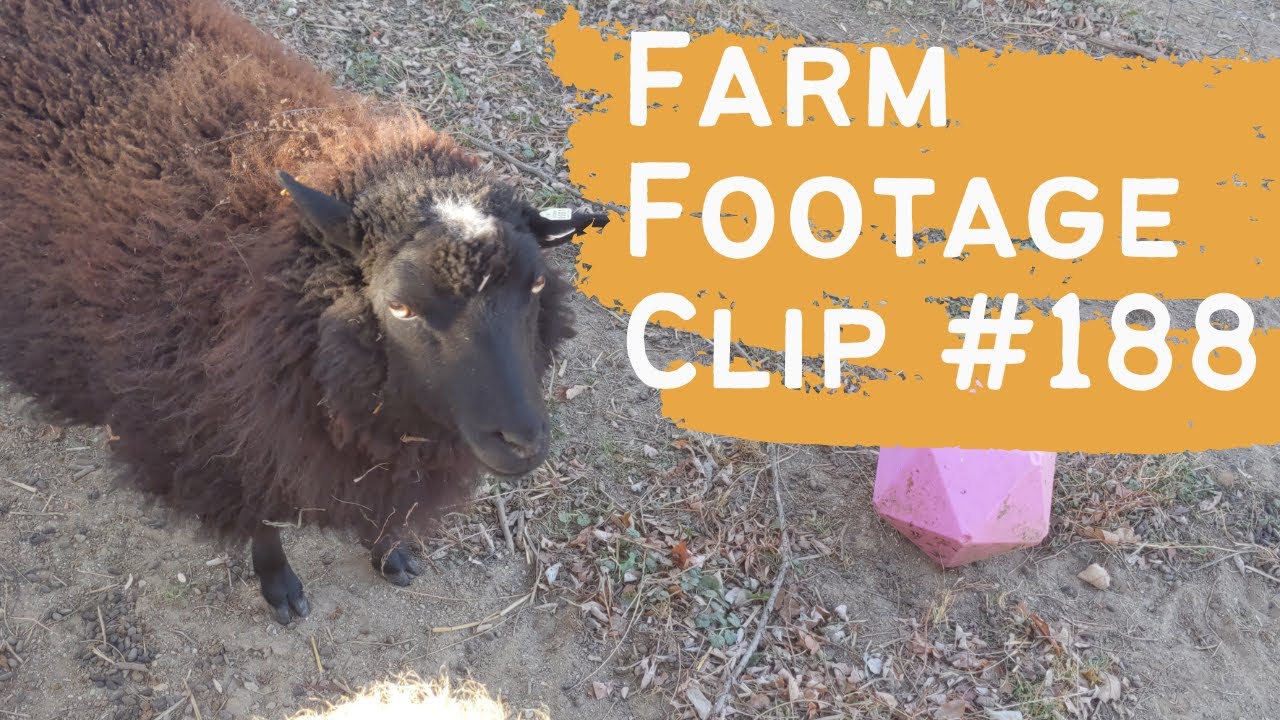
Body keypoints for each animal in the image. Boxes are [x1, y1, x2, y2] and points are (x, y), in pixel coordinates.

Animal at [0, 0, 607, 624]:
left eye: (537, 283)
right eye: (399, 307)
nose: (524, 443)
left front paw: (389, 552)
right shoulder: (227, 438)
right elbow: (263, 520)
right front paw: (280, 584)